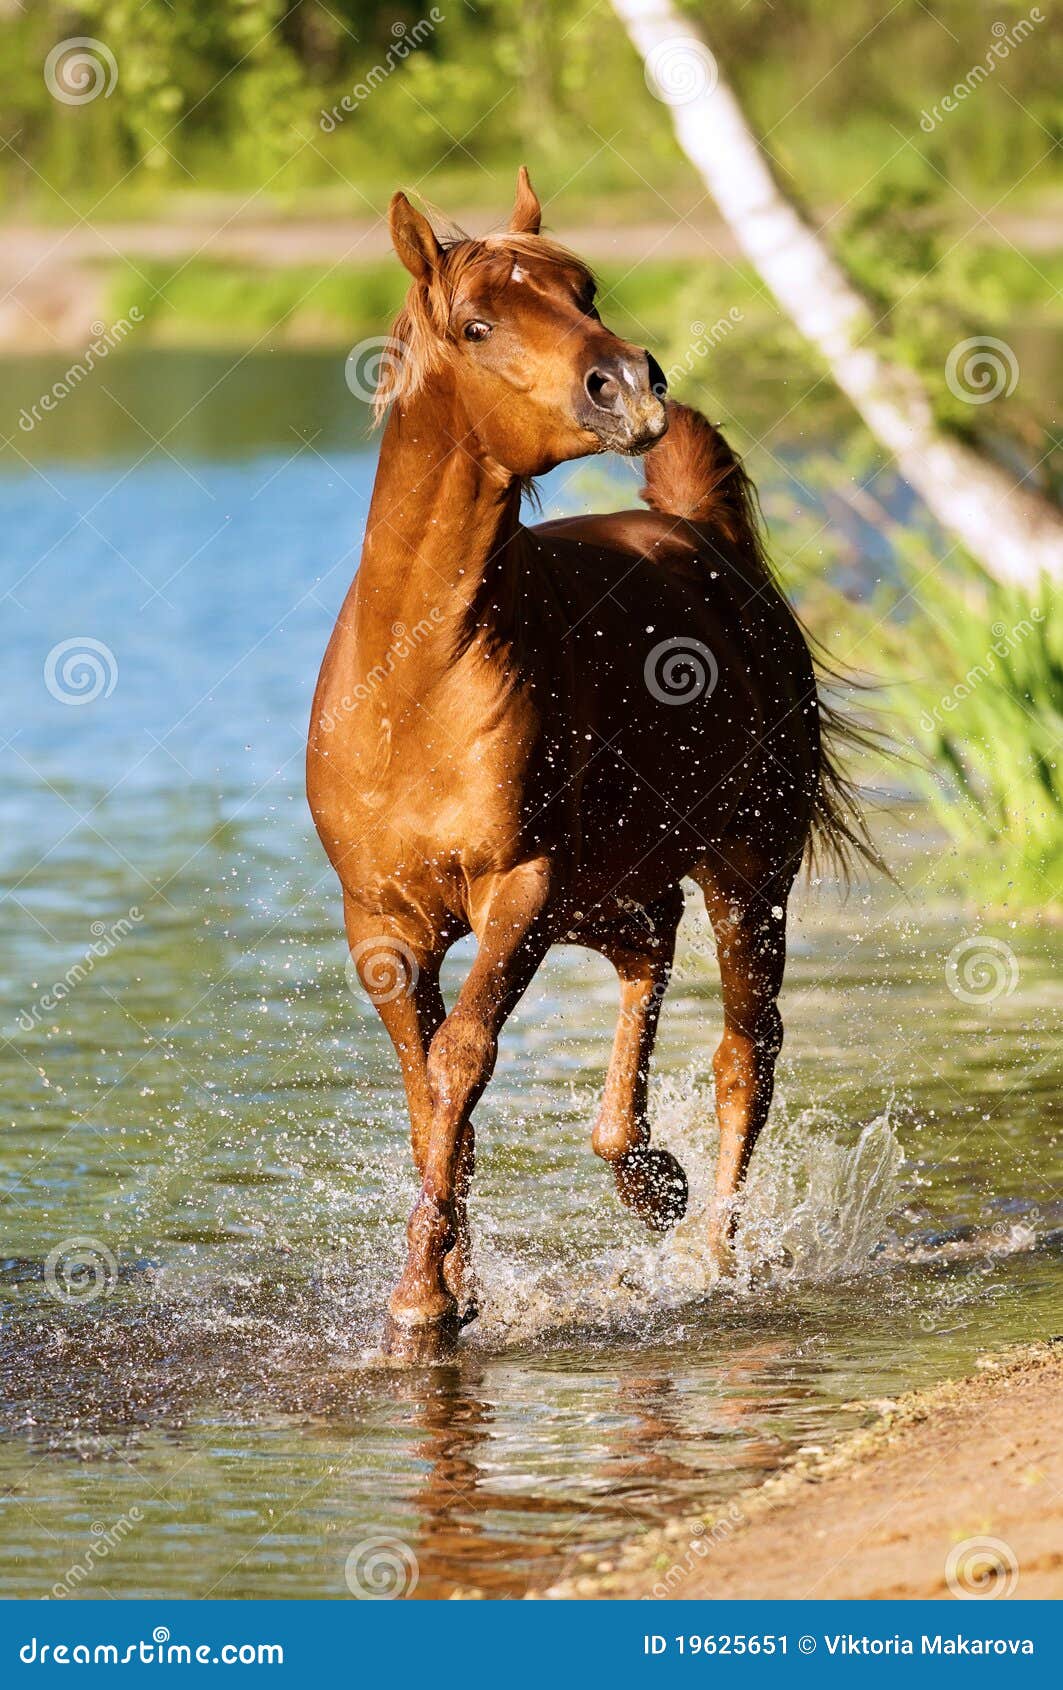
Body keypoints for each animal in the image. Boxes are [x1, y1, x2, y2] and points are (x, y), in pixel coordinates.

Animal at [307, 168, 870, 1359]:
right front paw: (454, 1281)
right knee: (645, 966)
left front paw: (422, 1302)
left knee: (744, 1054)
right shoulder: (380, 923)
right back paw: (650, 1179)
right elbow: (432, 1098)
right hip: (616, 885)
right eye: (478, 324)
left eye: (585, 292)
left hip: (744, 871)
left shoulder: (518, 890)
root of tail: (701, 539)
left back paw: (706, 1253)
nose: (630, 385)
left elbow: (463, 1061)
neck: (412, 685)